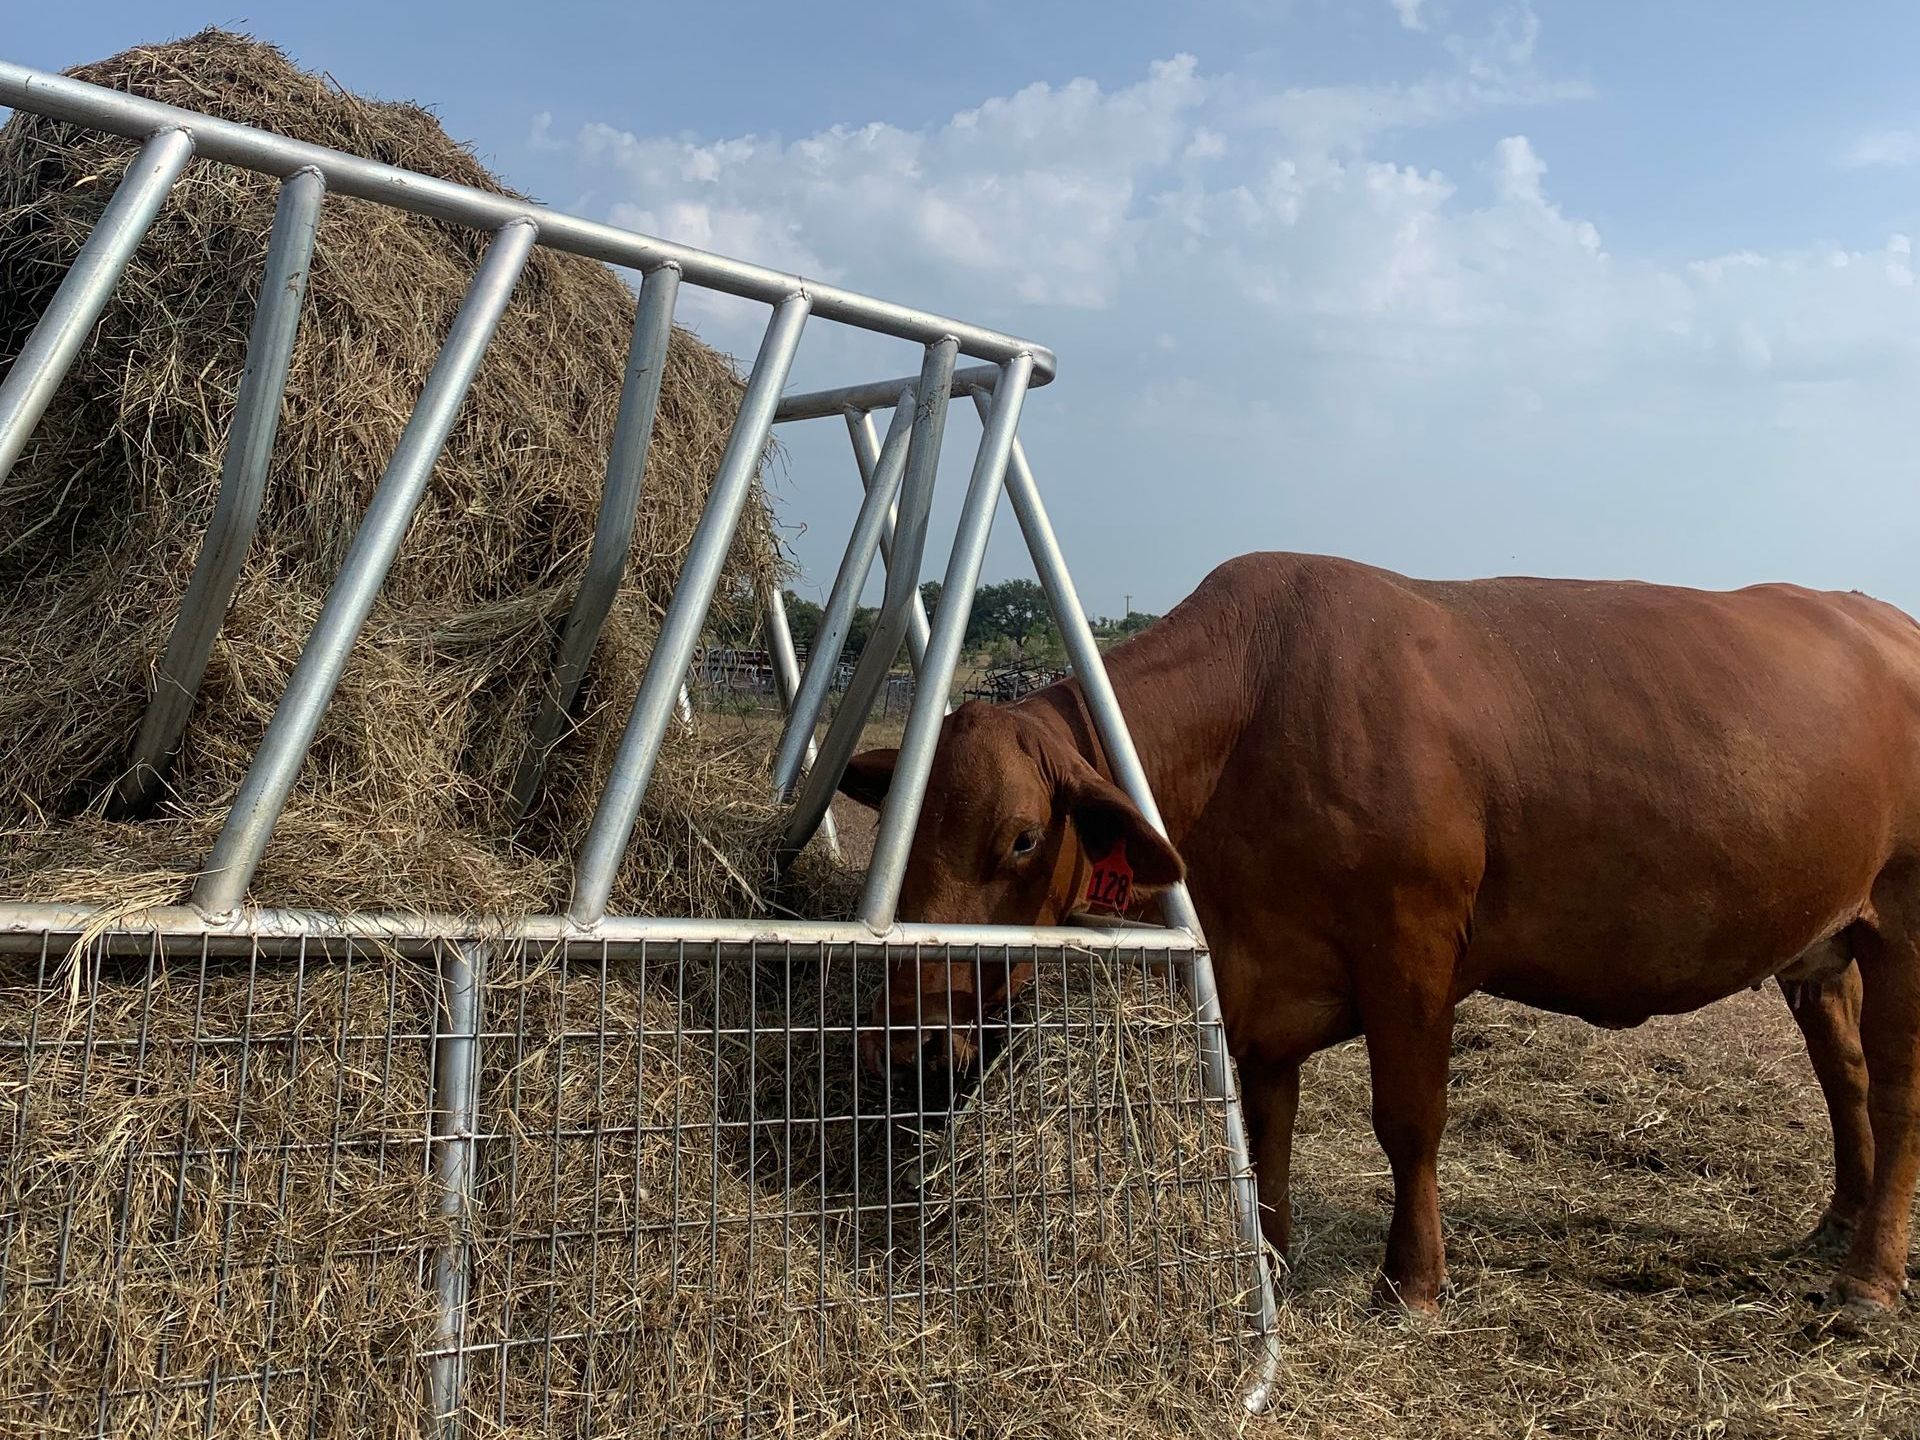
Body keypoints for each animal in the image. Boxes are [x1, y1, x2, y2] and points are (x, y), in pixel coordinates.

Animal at [836, 551, 1920, 1315]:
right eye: (895, 831)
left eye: (1021, 838)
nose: (904, 1043)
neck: (1252, 721)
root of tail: (1883, 615)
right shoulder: (1258, 981)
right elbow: (1262, 1128)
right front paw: (1271, 1259)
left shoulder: (1413, 946)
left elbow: (1408, 1122)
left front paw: (1411, 1286)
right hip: (1825, 941)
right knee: (1847, 1075)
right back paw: (1836, 1225)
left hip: (1908, 922)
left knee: (1898, 1093)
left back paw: (1867, 1280)